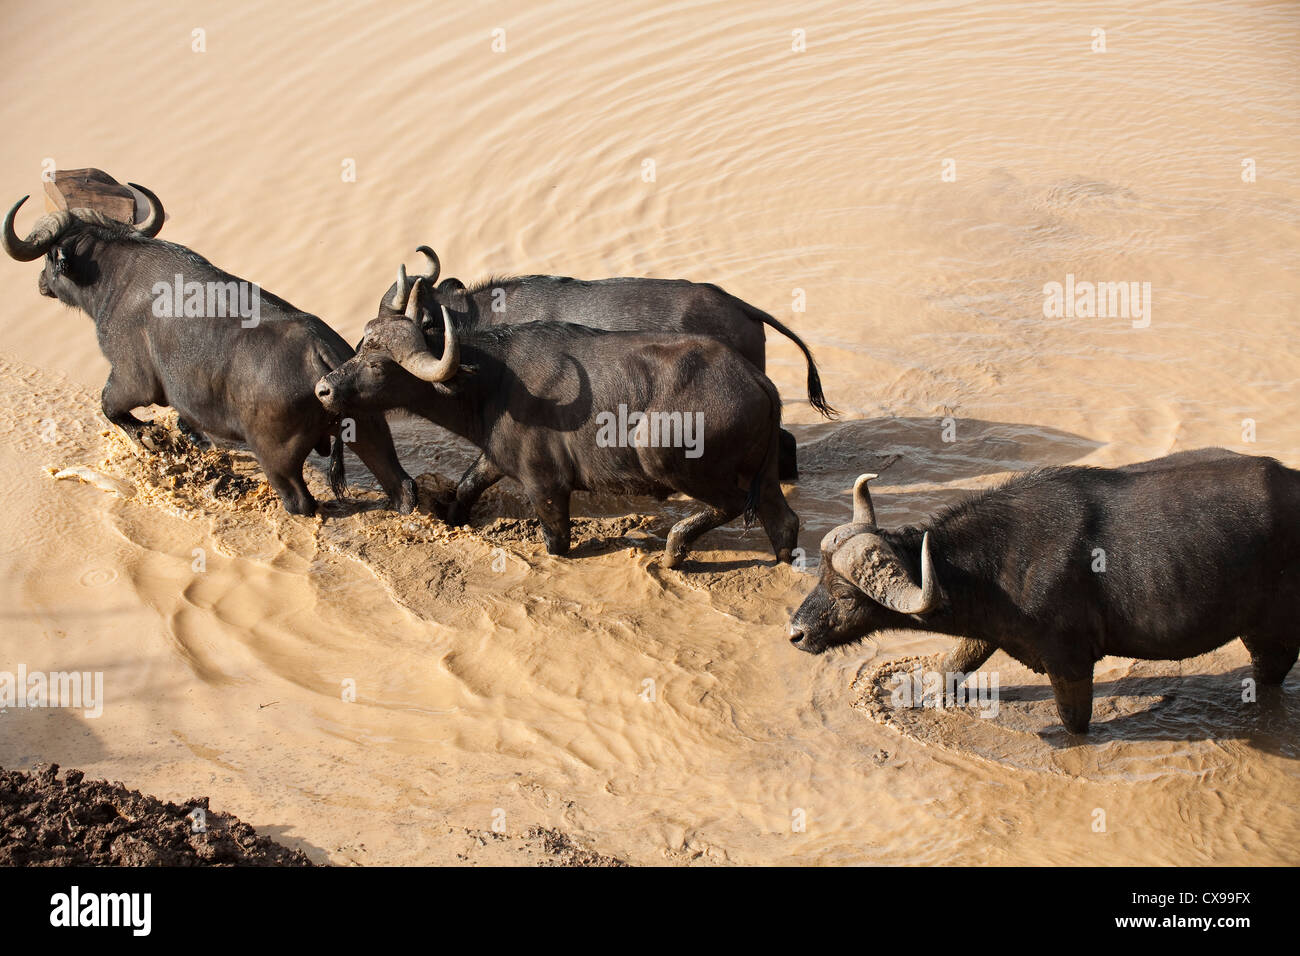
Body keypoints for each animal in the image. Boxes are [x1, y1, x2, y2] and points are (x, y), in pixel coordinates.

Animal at [3, 191, 416, 517]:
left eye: (47, 259)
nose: (41, 283)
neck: (113, 278)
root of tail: (320, 353)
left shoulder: (131, 379)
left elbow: (110, 406)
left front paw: (149, 437)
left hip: (278, 459)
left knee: (300, 502)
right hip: (370, 429)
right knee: (401, 485)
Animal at [316, 278, 799, 566]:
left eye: (379, 365)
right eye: (361, 346)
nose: (324, 389)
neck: (495, 381)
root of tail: (755, 379)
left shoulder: (545, 485)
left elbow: (556, 542)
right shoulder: (496, 457)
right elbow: (468, 485)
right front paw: (450, 513)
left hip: (665, 456)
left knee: (731, 505)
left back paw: (675, 548)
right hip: (762, 474)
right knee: (784, 521)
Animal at [788, 450, 1300, 733]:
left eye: (847, 594)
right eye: (821, 577)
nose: (796, 632)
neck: (996, 562)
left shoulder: (1068, 662)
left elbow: (1074, 721)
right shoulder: (989, 631)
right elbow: (954, 664)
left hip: (1271, 632)